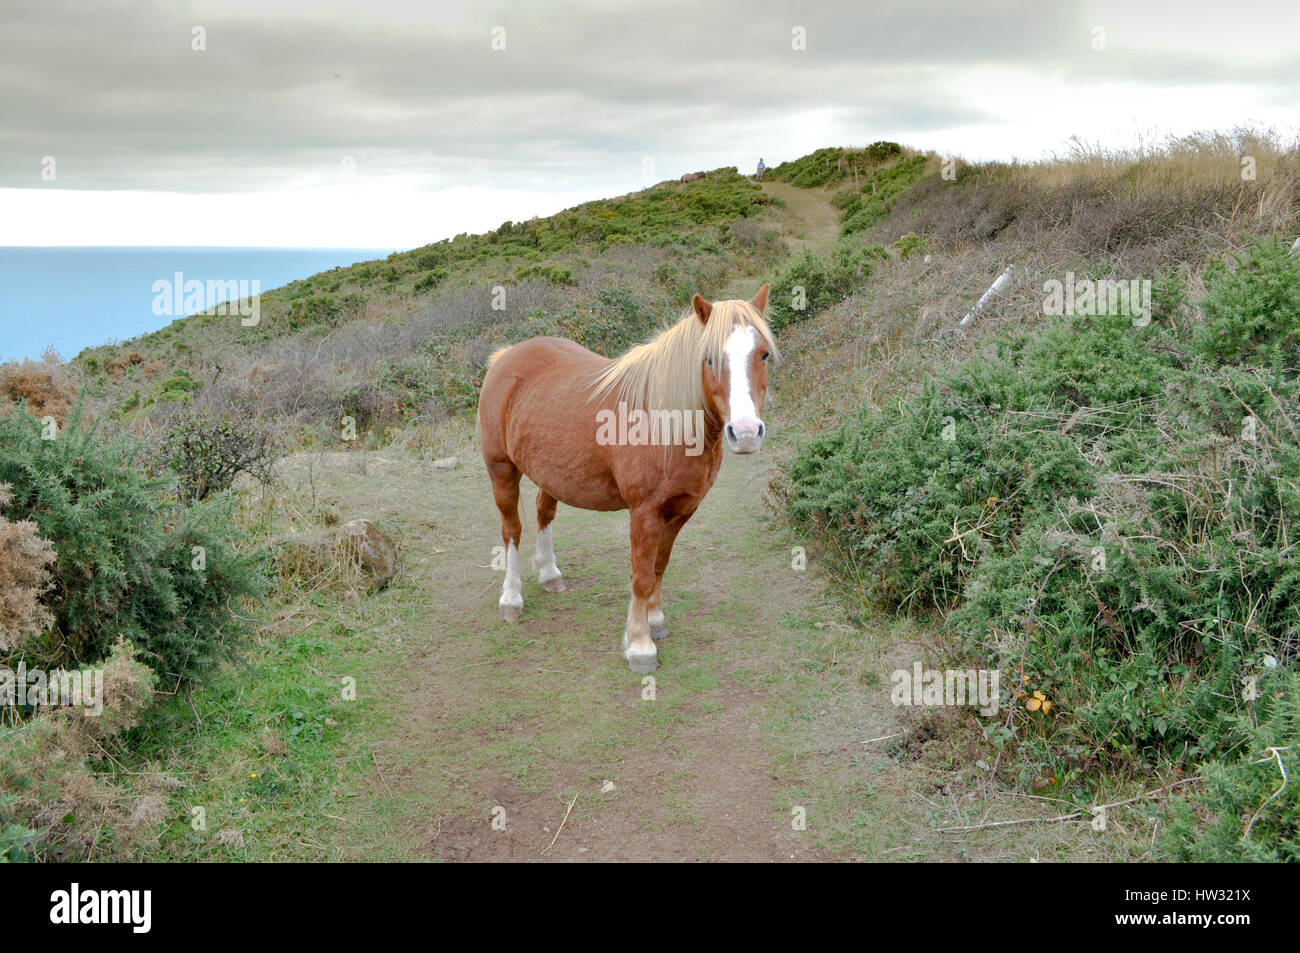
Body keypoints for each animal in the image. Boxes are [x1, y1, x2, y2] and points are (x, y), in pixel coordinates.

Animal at [477, 285, 777, 673]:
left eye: (764, 354)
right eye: (709, 359)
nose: (745, 433)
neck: (665, 423)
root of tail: (505, 358)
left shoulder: (681, 510)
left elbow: (659, 566)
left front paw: (655, 620)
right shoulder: (644, 512)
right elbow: (642, 574)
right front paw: (640, 645)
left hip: (549, 473)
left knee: (545, 514)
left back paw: (550, 575)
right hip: (501, 469)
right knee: (511, 531)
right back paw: (511, 599)